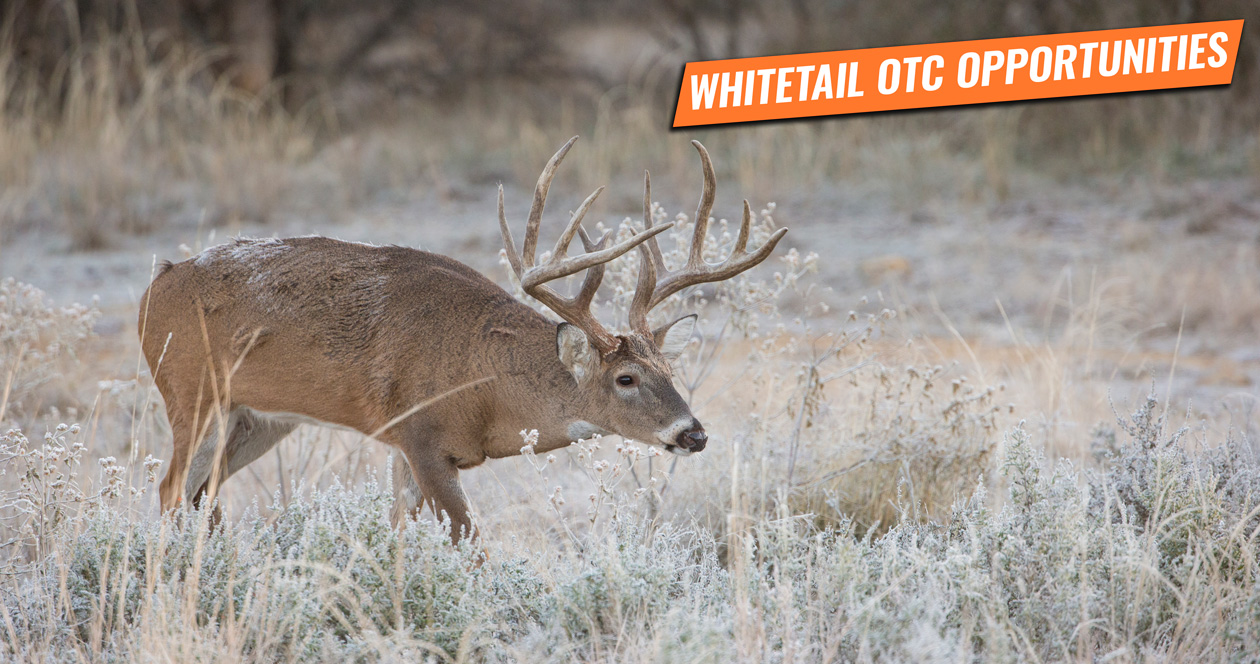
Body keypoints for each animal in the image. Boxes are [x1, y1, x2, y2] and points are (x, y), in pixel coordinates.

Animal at [138, 137, 787, 541]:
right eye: (625, 378)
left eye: (670, 373)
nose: (694, 433)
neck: (487, 383)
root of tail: (155, 285)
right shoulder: (421, 434)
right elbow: (471, 546)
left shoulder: (403, 447)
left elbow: (399, 532)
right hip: (191, 393)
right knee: (170, 488)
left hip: (258, 418)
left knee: (200, 495)